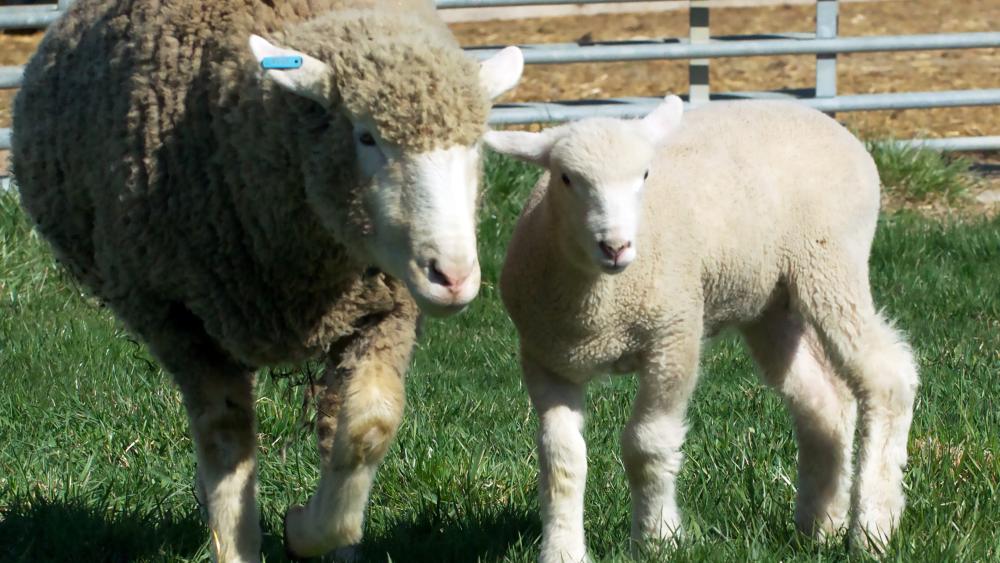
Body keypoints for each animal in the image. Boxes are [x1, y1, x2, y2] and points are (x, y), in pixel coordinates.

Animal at [11, 0, 523, 560]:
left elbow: (369, 424)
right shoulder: (177, 315)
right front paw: (242, 543)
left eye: (476, 142)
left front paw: (309, 530)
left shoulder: (384, 306)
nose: (453, 276)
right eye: (365, 136)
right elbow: (225, 439)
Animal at [486, 96, 919, 561]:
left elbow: (647, 444)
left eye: (645, 175)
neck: (598, 309)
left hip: (831, 263)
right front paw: (563, 550)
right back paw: (819, 526)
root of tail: (828, 123)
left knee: (887, 377)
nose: (616, 246)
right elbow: (561, 460)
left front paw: (658, 538)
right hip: (772, 303)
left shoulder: (674, 337)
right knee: (822, 402)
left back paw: (872, 528)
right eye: (567, 178)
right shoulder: (546, 359)